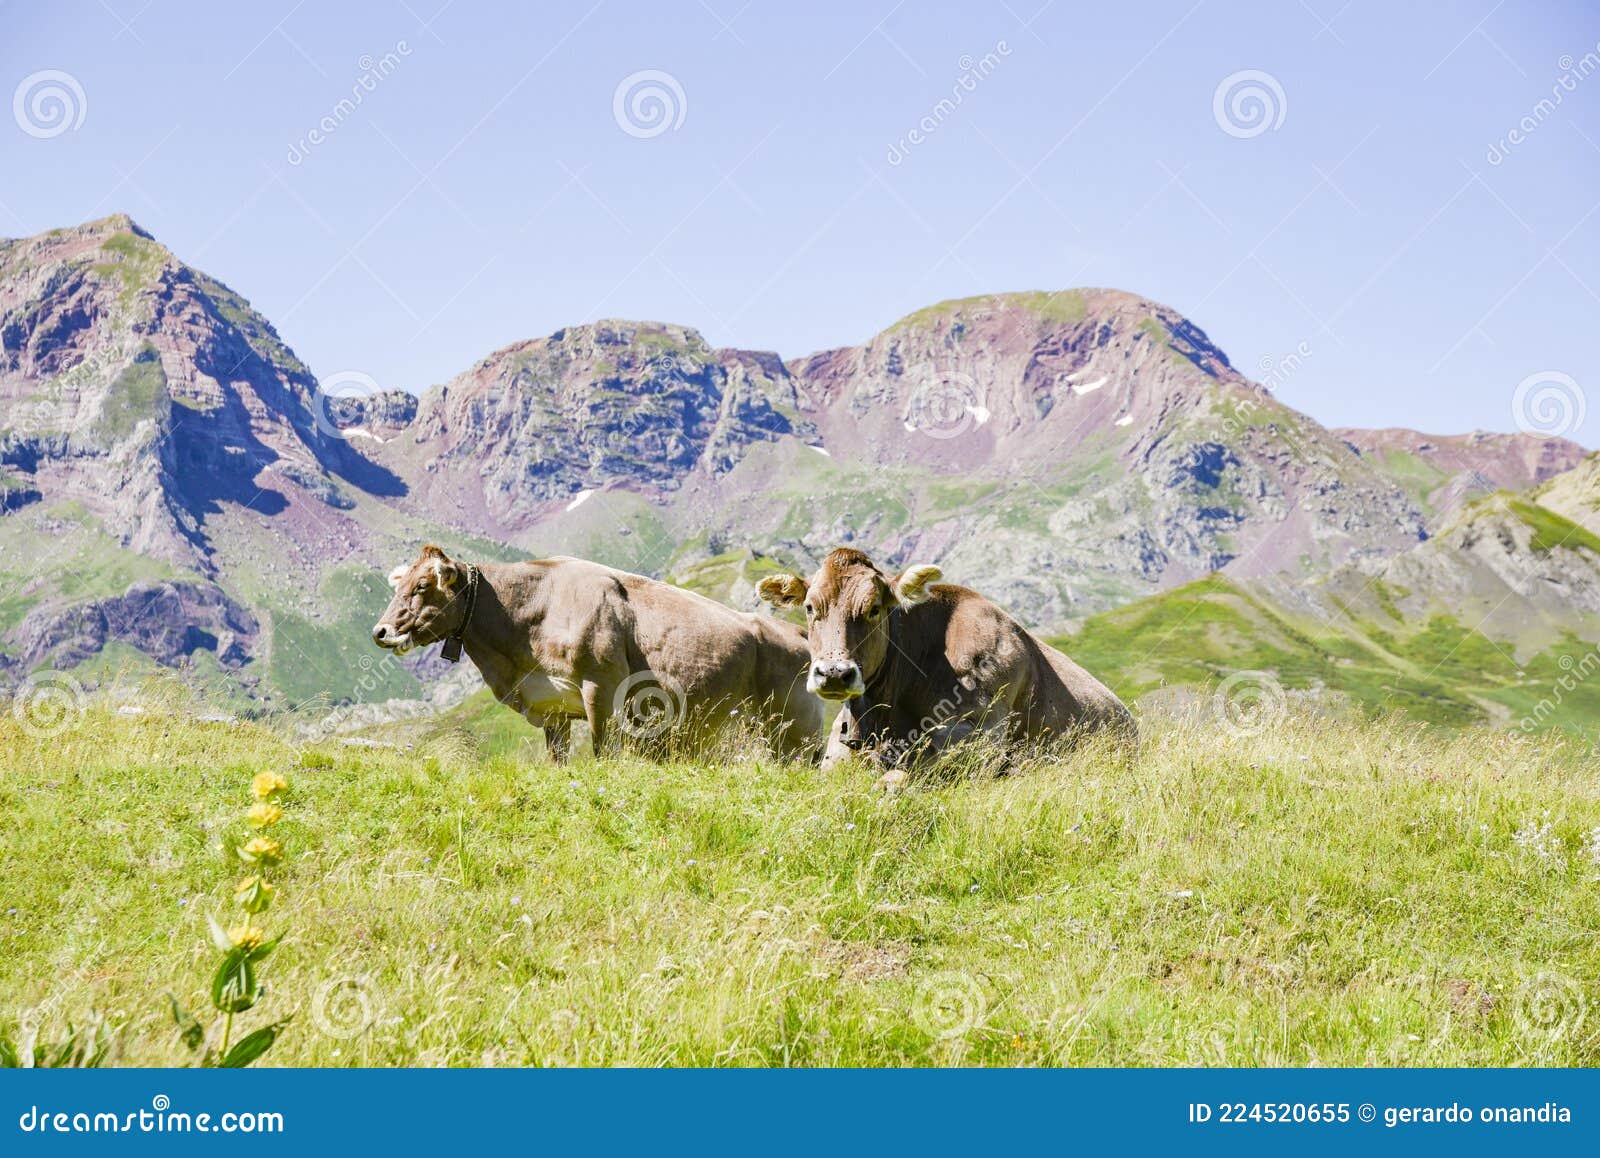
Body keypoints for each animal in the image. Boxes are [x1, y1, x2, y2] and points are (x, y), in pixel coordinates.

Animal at [372, 546, 823, 761]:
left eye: (421, 587)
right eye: (400, 585)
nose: (380, 631)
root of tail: (796, 631)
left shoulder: (602, 689)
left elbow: (604, 752)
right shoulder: (551, 706)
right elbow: (558, 760)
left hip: (795, 726)